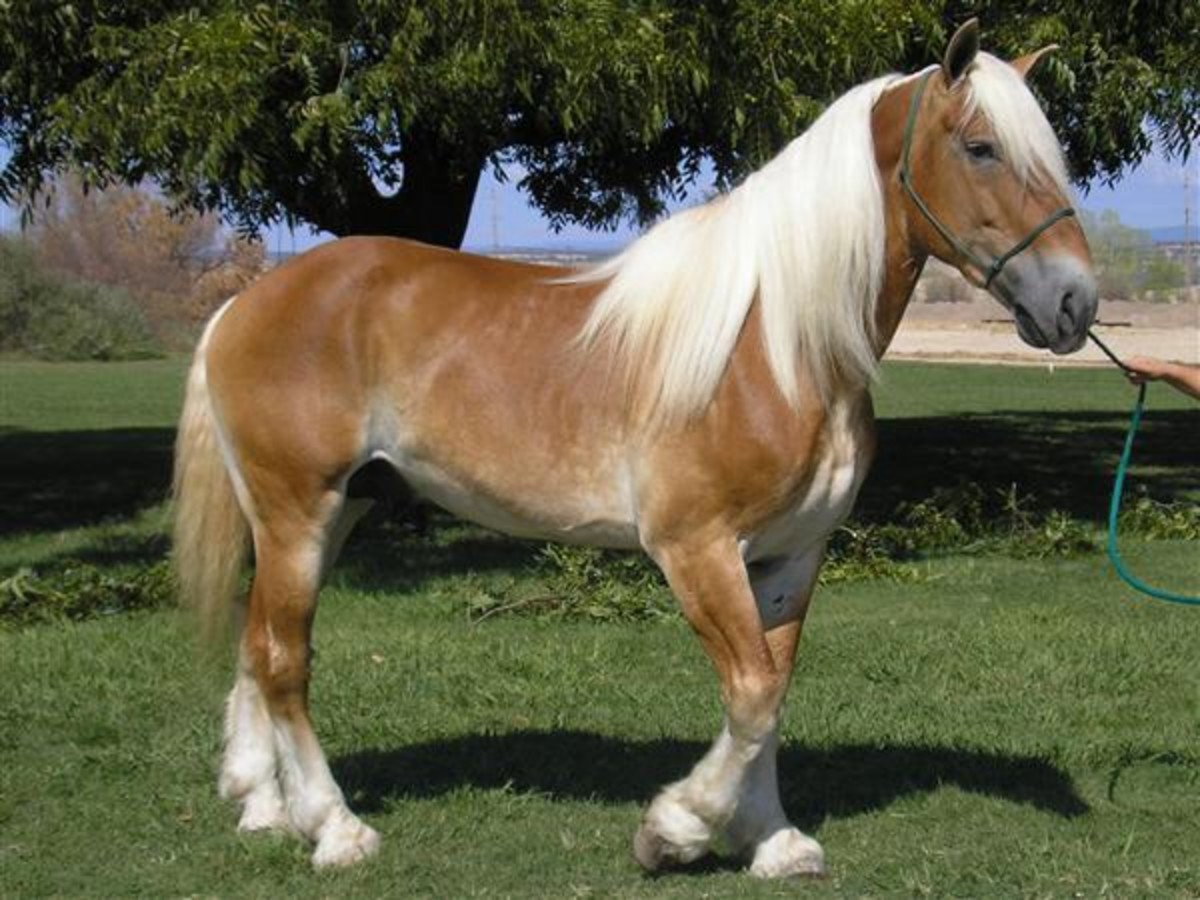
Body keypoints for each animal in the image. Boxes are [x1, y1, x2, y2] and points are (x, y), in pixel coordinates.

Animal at [173, 20, 1097, 876]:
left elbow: (772, 691)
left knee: (257, 644)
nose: (1075, 304)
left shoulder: (792, 555)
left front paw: (771, 841)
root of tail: (244, 305)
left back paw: (261, 807)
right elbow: (750, 694)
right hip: (299, 510)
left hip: (331, 513)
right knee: (285, 660)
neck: (776, 344)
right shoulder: (697, 548)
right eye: (980, 147)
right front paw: (676, 829)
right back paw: (334, 829)